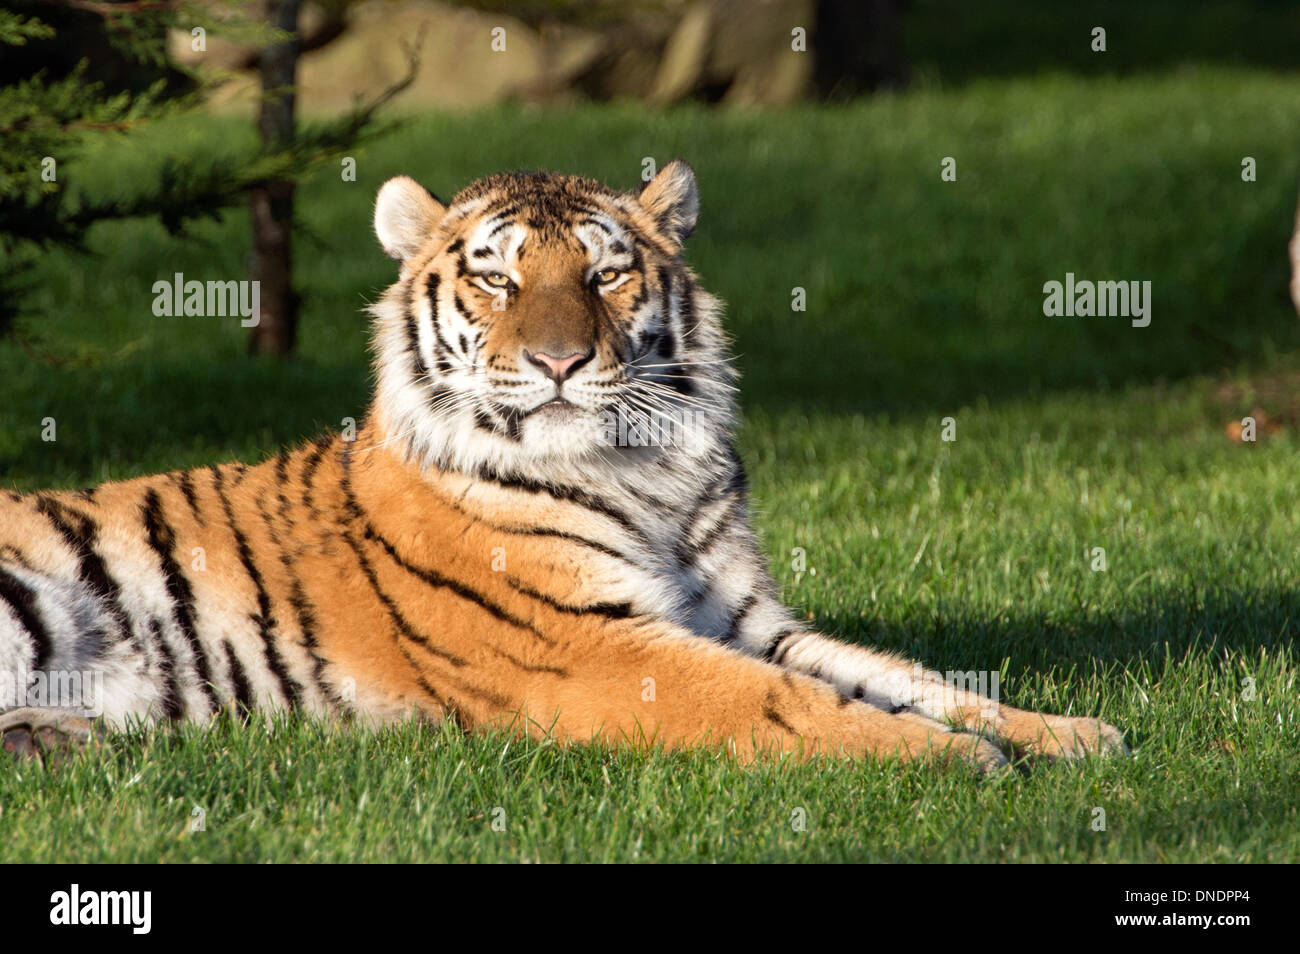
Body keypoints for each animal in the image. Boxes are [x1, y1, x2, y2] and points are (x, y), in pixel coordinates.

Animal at [0, 160, 1125, 771]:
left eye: (605, 273)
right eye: (497, 277)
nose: (557, 361)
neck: (642, 471)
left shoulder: (744, 619)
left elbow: (911, 676)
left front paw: (1069, 733)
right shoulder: (591, 646)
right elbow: (789, 703)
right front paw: (957, 762)